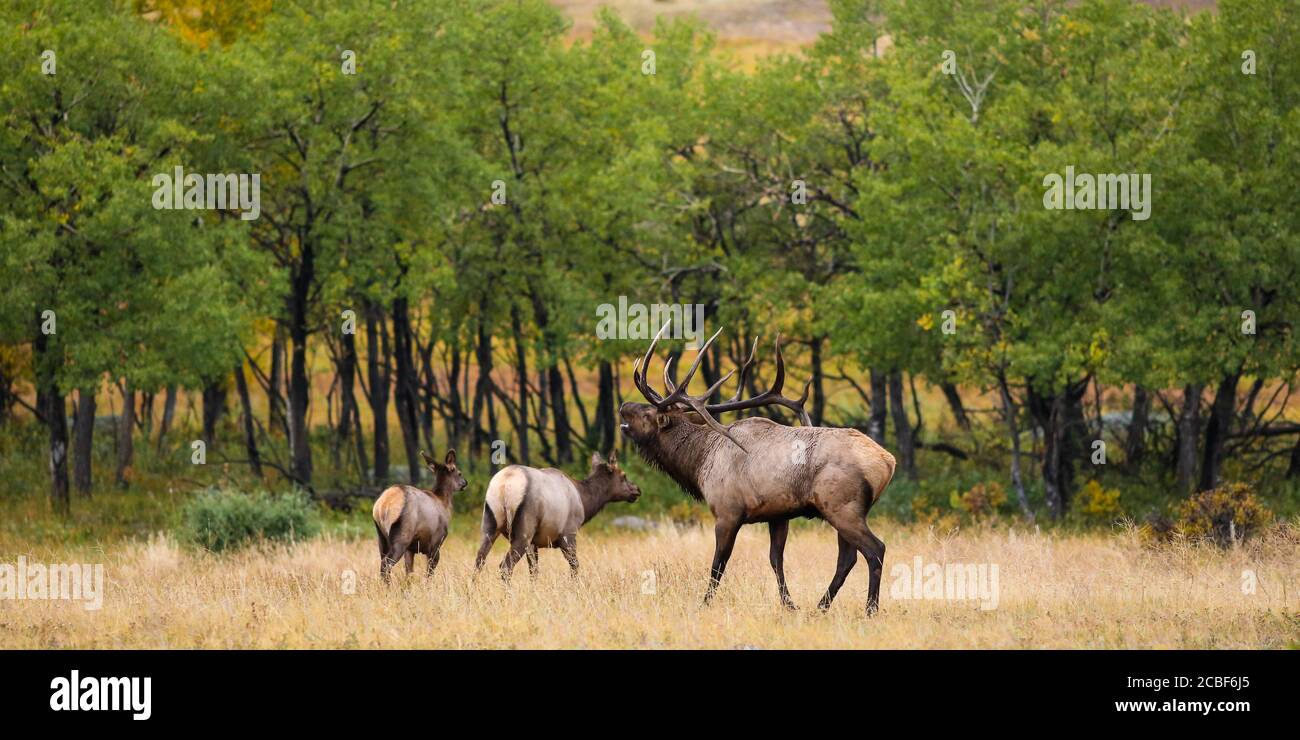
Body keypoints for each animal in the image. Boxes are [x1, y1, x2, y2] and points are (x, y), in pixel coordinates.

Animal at [372, 449, 468, 583]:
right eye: (459, 473)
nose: (465, 483)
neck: (444, 502)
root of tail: (382, 505)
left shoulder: (410, 549)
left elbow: (409, 574)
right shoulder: (436, 543)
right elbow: (429, 574)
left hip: (381, 537)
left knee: (382, 563)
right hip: (402, 536)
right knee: (386, 564)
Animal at [475, 451, 642, 581]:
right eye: (623, 475)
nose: (637, 490)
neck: (585, 502)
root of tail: (504, 485)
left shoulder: (534, 543)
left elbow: (534, 571)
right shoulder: (569, 534)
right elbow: (575, 566)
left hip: (489, 525)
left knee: (479, 561)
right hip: (523, 532)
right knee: (505, 566)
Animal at [619, 324, 896, 614]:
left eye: (648, 413)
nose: (624, 406)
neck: (699, 463)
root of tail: (888, 462)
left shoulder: (727, 511)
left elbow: (718, 565)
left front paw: (704, 604)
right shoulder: (778, 515)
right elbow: (776, 560)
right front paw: (789, 605)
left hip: (842, 507)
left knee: (875, 549)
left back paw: (870, 609)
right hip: (843, 510)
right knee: (848, 557)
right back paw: (820, 606)